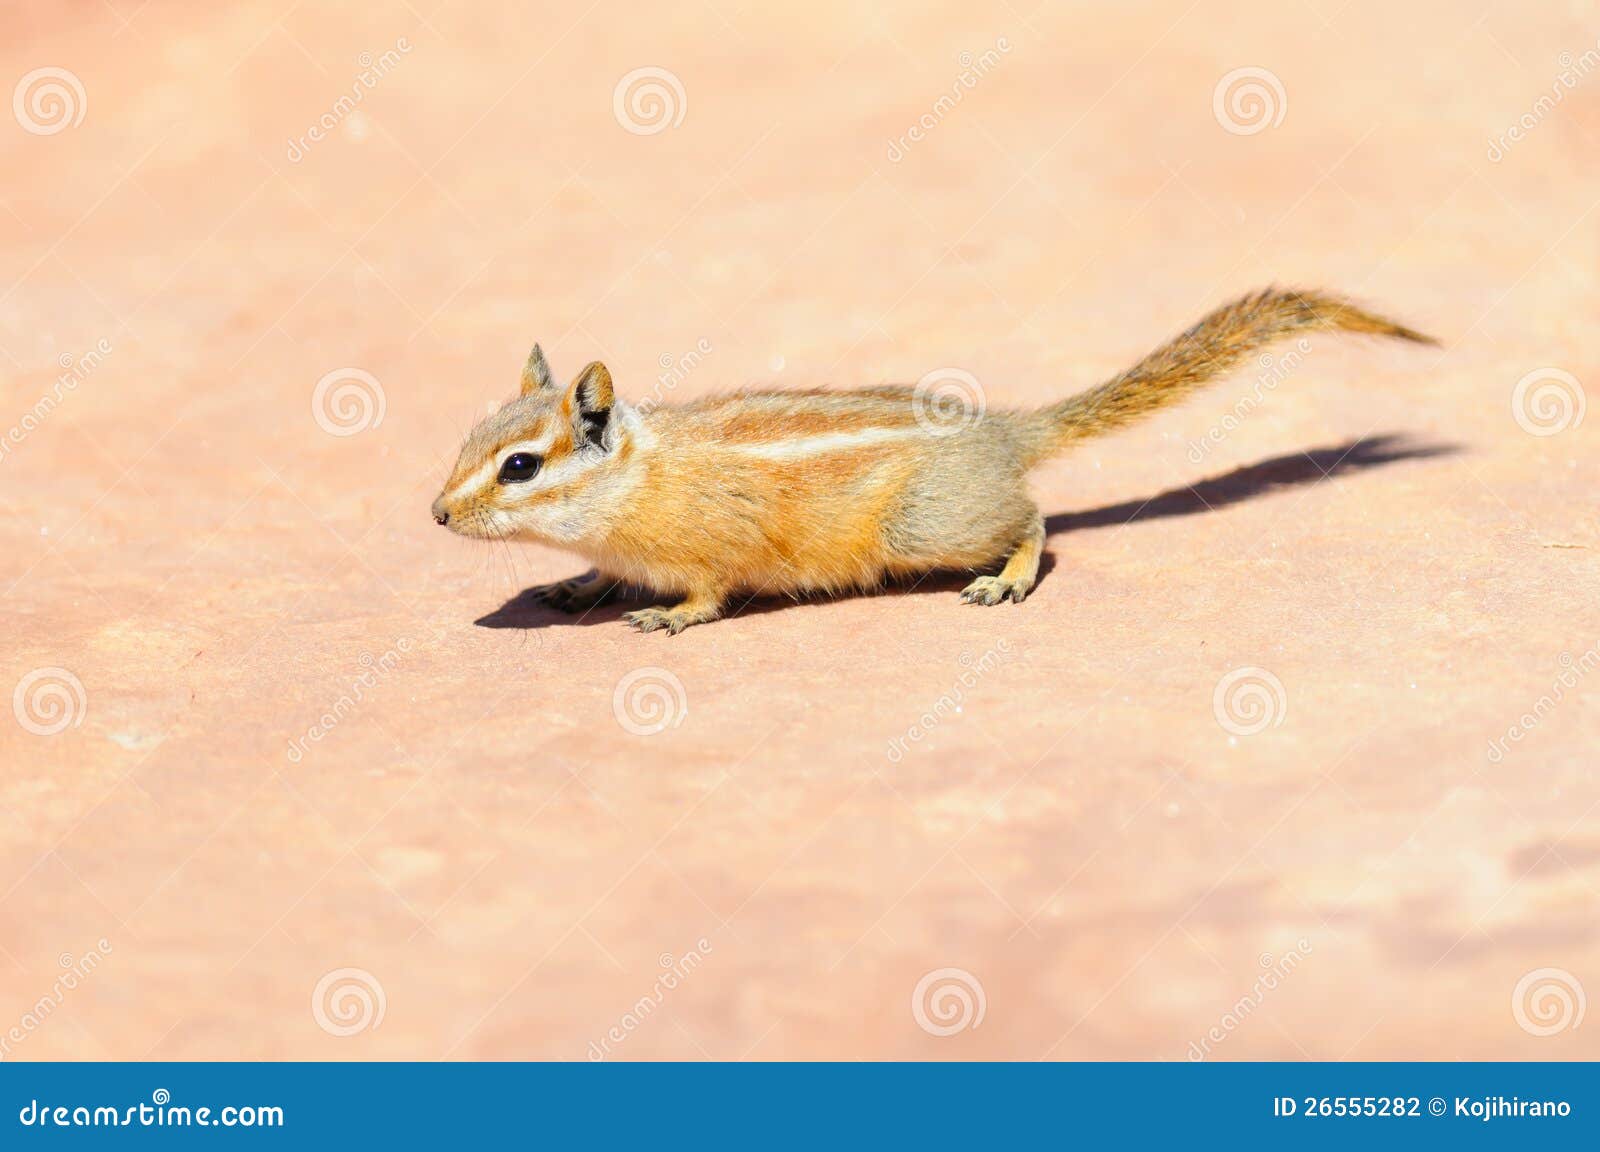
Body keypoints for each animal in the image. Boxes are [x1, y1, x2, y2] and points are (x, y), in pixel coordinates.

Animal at [431, 287, 1433, 634]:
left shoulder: (715, 549)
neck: (634, 477)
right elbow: (598, 575)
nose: (436, 515)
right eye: (470, 439)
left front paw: (669, 617)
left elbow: (709, 592)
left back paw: (1008, 579)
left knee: (1037, 519)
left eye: (519, 467)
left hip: (925, 528)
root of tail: (1006, 433)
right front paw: (571, 589)